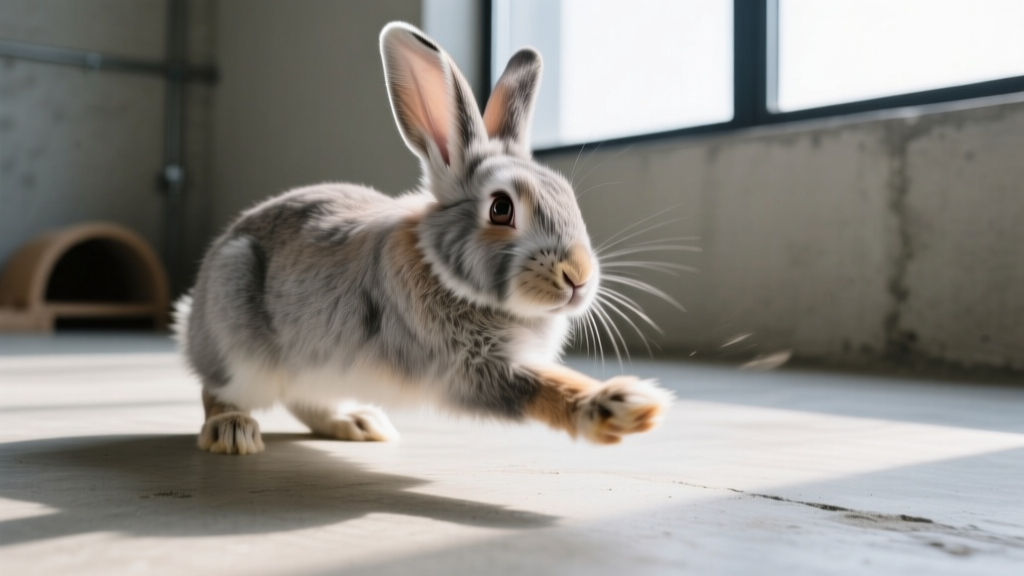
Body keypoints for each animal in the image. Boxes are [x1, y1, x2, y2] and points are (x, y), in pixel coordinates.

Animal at [173, 22, 674, 455]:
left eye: (568, 197)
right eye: (501, 208)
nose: (578, 277)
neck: (442, 270)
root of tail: (191, 319)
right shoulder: (469, 369)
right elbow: (542, 385)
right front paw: (622, 405)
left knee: (305, 399)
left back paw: (358, 423)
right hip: (238, 336)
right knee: (216, 391)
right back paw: (233, 432)